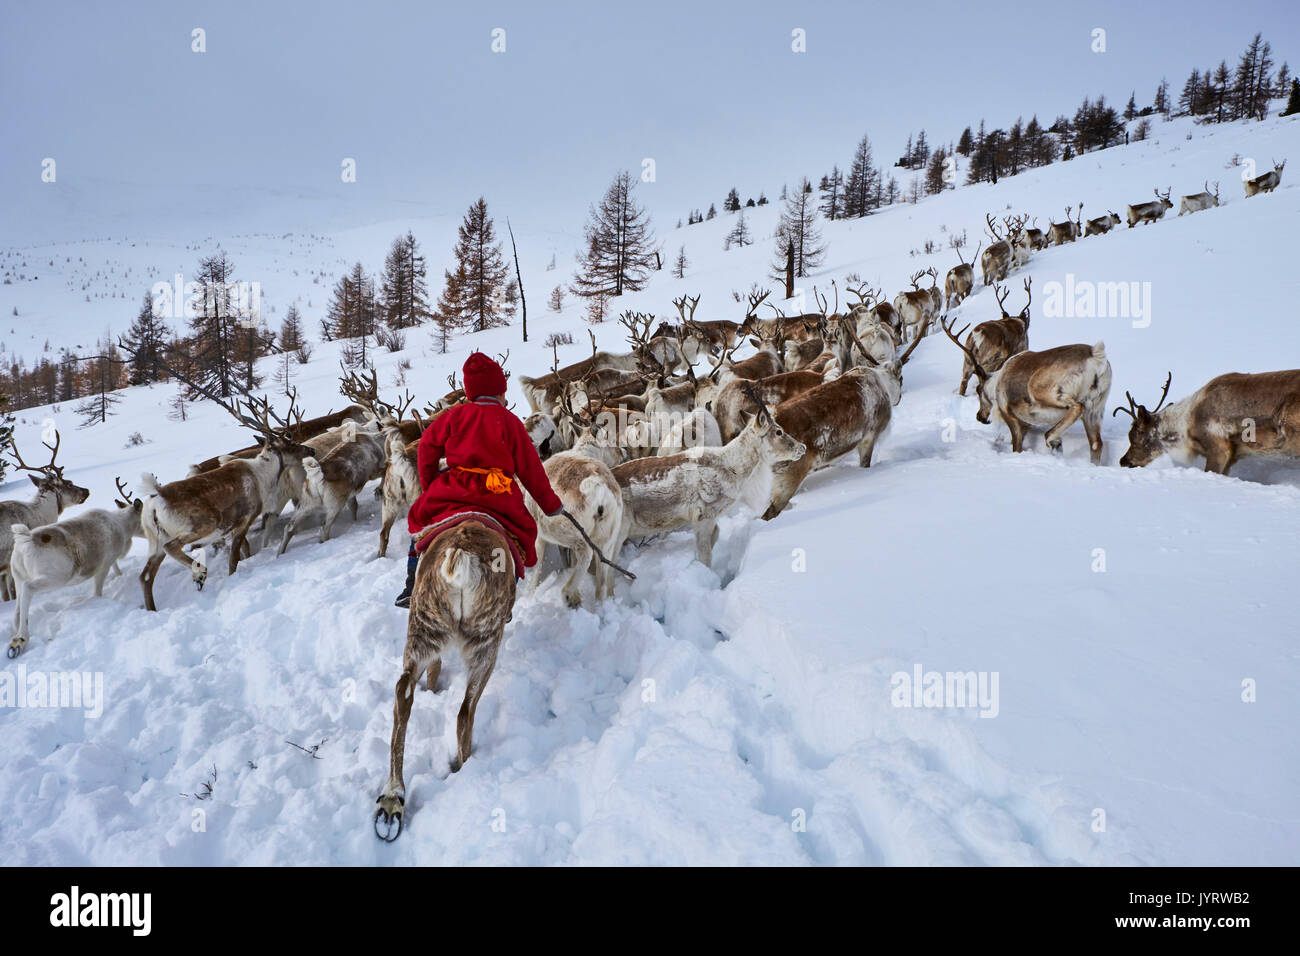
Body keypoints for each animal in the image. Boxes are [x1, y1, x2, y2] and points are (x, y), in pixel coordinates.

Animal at [7, 479, 145, 658]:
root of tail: (24, 539)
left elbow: (117, 568)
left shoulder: (110, 560)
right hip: (56, 578)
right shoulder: (103, 565)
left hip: (17, 575)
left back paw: (15, 638)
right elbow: (98, 590)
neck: (123, 525)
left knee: (17, 605)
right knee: (28, 588)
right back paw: (22, 638)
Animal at [374, 518, 518, 841]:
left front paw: (433, 687)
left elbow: (434, 667)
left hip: (422, 624)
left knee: (402, 694)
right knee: (465, 712)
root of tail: (461, 560)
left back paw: (392, 797)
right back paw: (465, 764)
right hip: (486, 642)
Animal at [611, 385, 806, 567]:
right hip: (617, 534)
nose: (802, 447)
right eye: (779, 431)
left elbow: (716, 536)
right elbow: (705, 555)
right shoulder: (703, 516)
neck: (733, 468)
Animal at [941, 317, 1111, 463]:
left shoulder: (1009, 414)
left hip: (1041, 389)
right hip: (1096, 409)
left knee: (1077, 407)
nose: (979, 417)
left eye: (978, 391)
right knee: (1096, 444)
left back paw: (1053, 440)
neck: (995, 383)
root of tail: (1096, 358)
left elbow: (1016, 447)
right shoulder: (1027, 423)